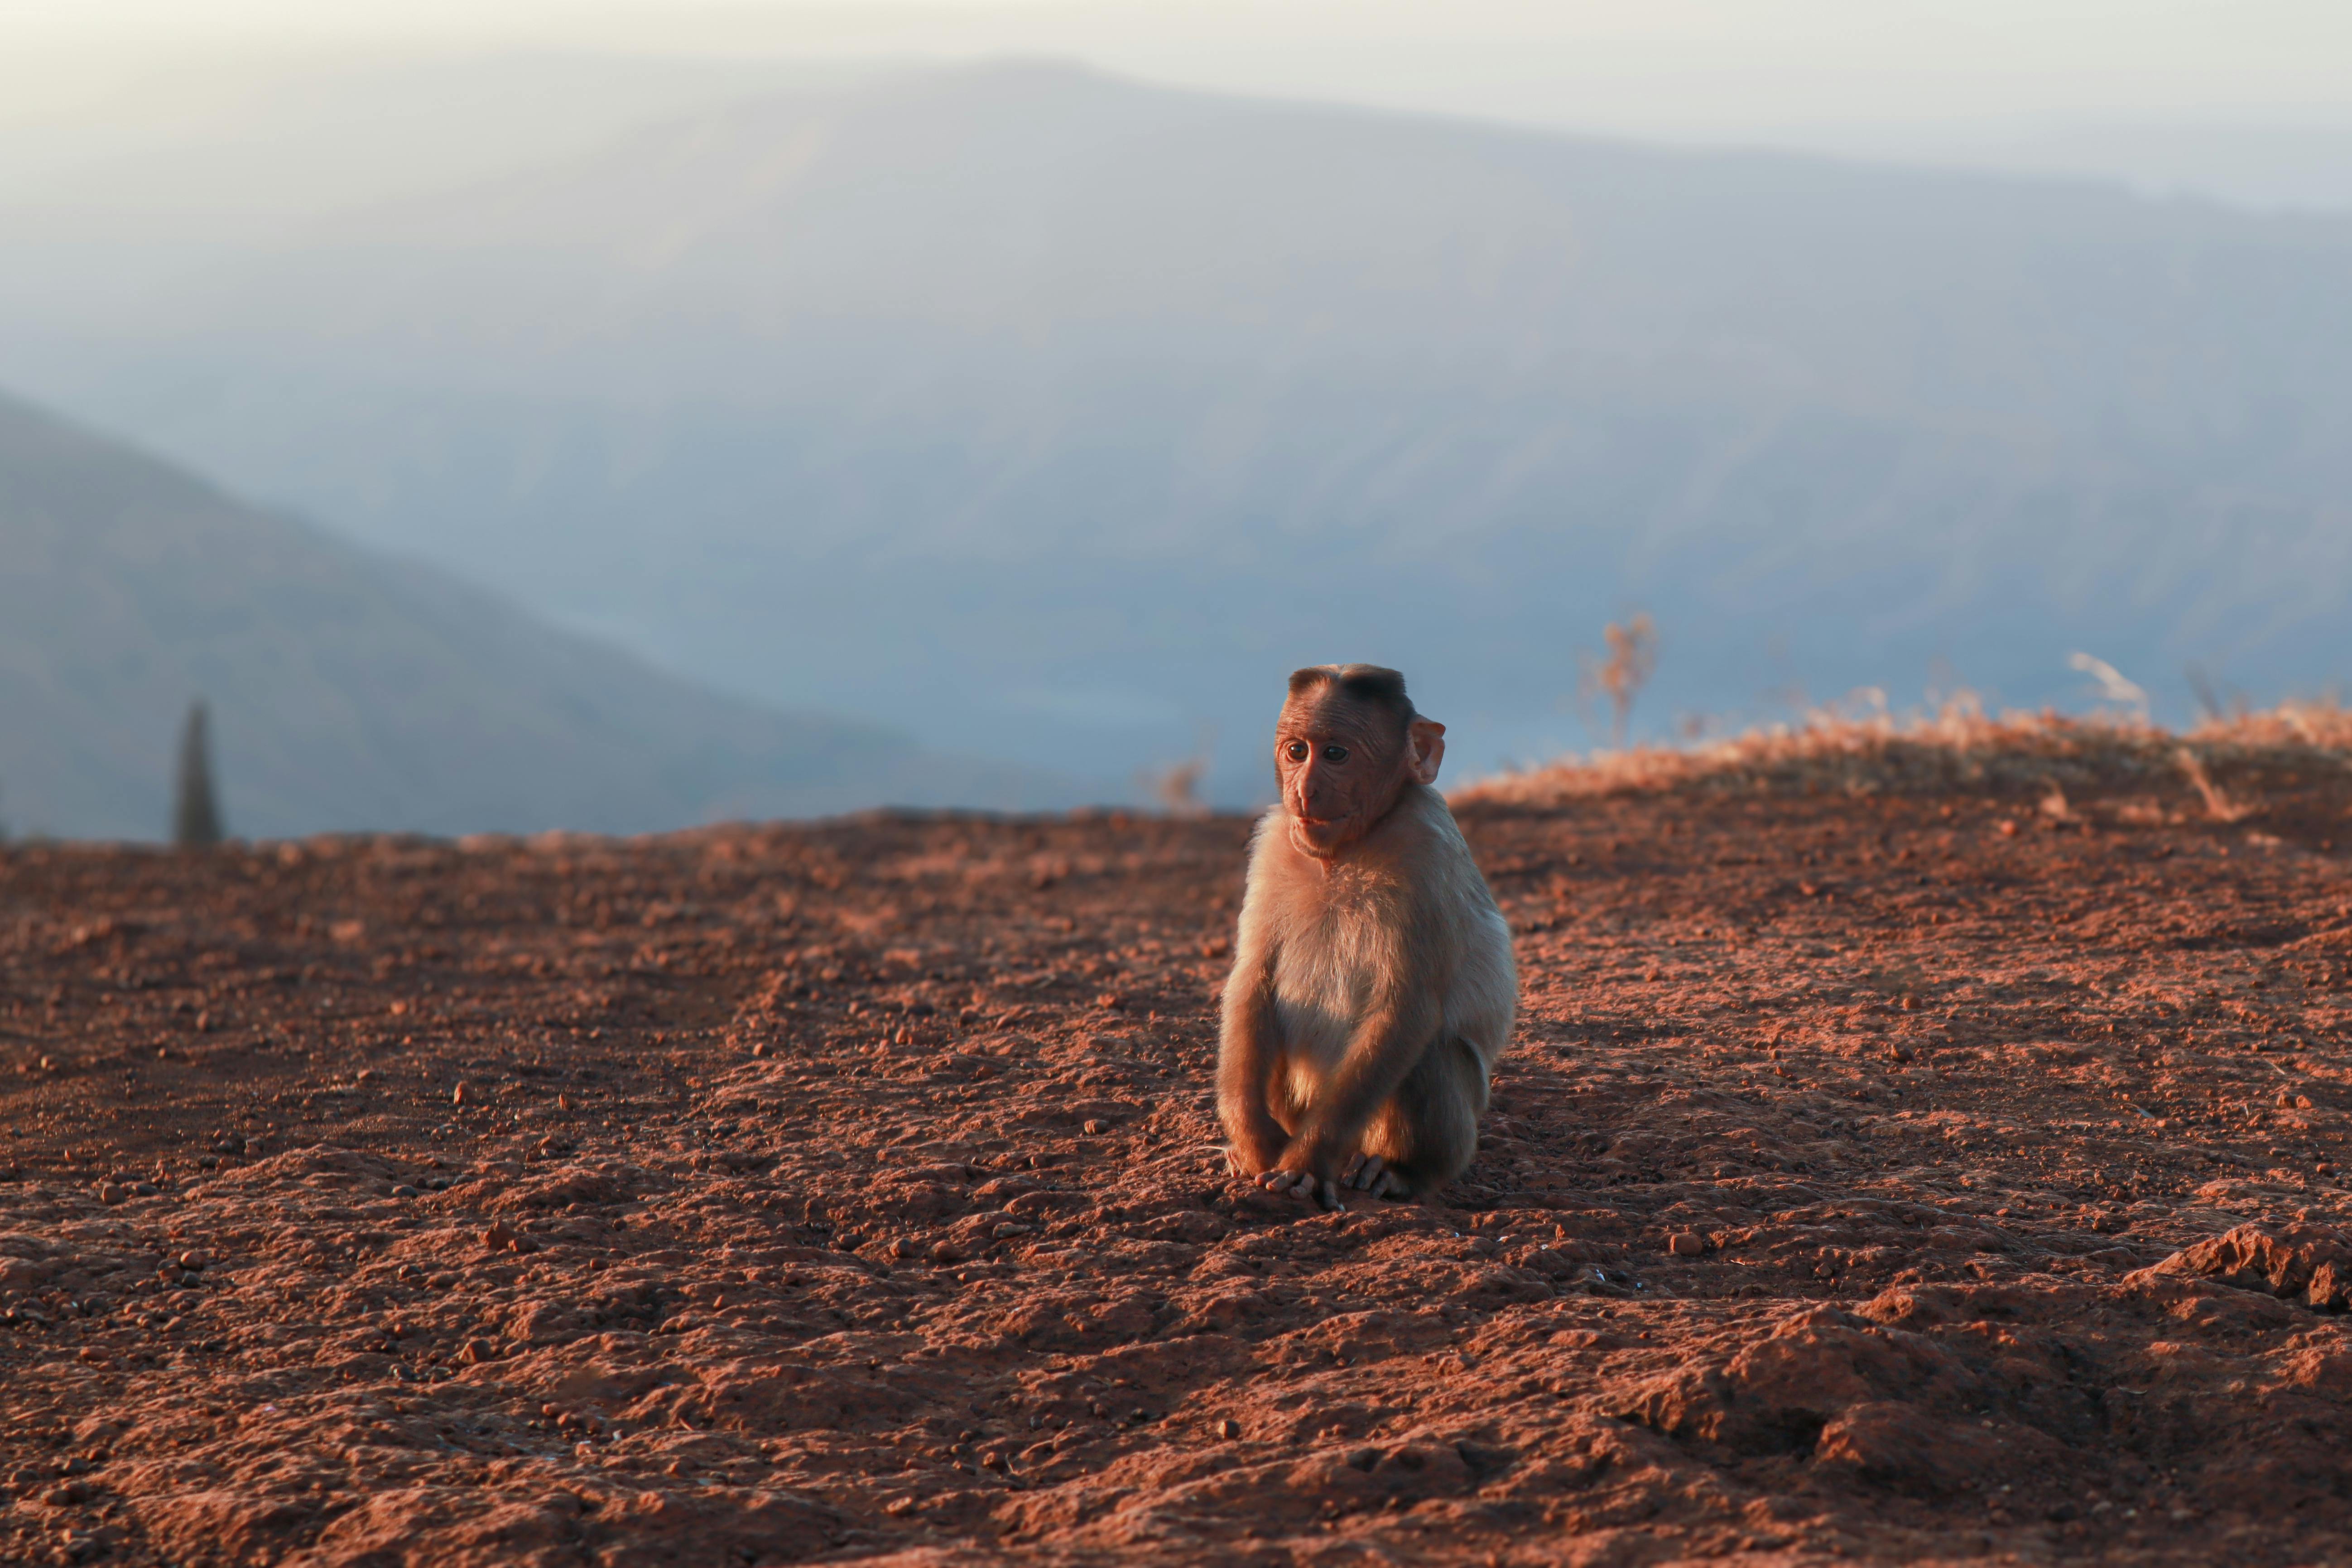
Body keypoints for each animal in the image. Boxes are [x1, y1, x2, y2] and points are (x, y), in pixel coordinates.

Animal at [1217, 664, 1516, 1211]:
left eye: (1336, 754)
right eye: (1297, 751)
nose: (1304, 790)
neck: (1345, 854)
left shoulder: (1426, 853)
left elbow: (1407, 1007)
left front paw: (1306, 1163)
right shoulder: (1273, 846)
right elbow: (1252, 980)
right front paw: (1251, 1139)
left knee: (1433, 1052)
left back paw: (1399, 1172)